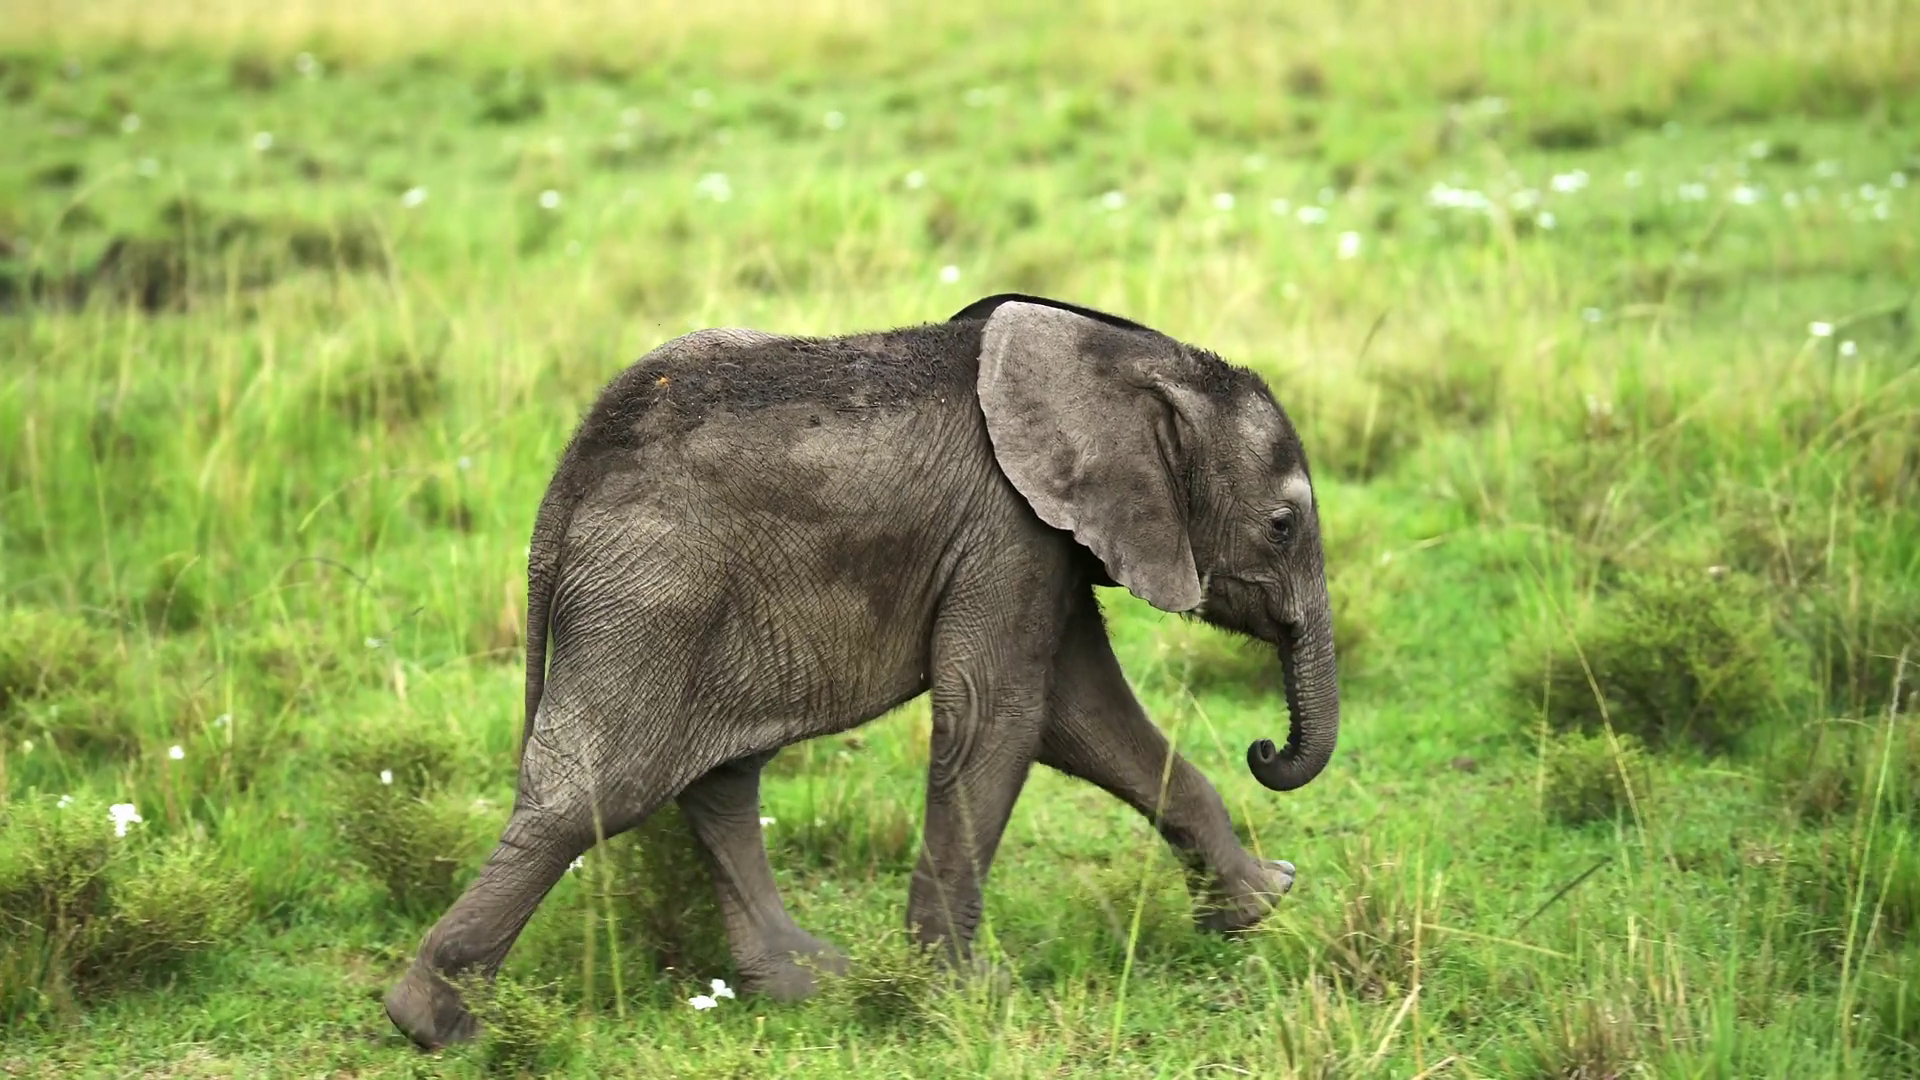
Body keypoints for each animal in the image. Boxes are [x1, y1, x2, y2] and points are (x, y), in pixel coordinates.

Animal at [383, 292, 1340, 1049]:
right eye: (1283, 525)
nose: (1265, 750)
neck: (1126, 359)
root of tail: (569, 471)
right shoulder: (1007, 528)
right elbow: (996, 717)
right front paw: (962, 997)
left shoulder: (1044, 541)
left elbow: (1083, 719)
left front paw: (1263, 904)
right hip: (654, 590)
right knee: (596, 790)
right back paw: (431, 1025)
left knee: (720, 780)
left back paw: (807, 983)